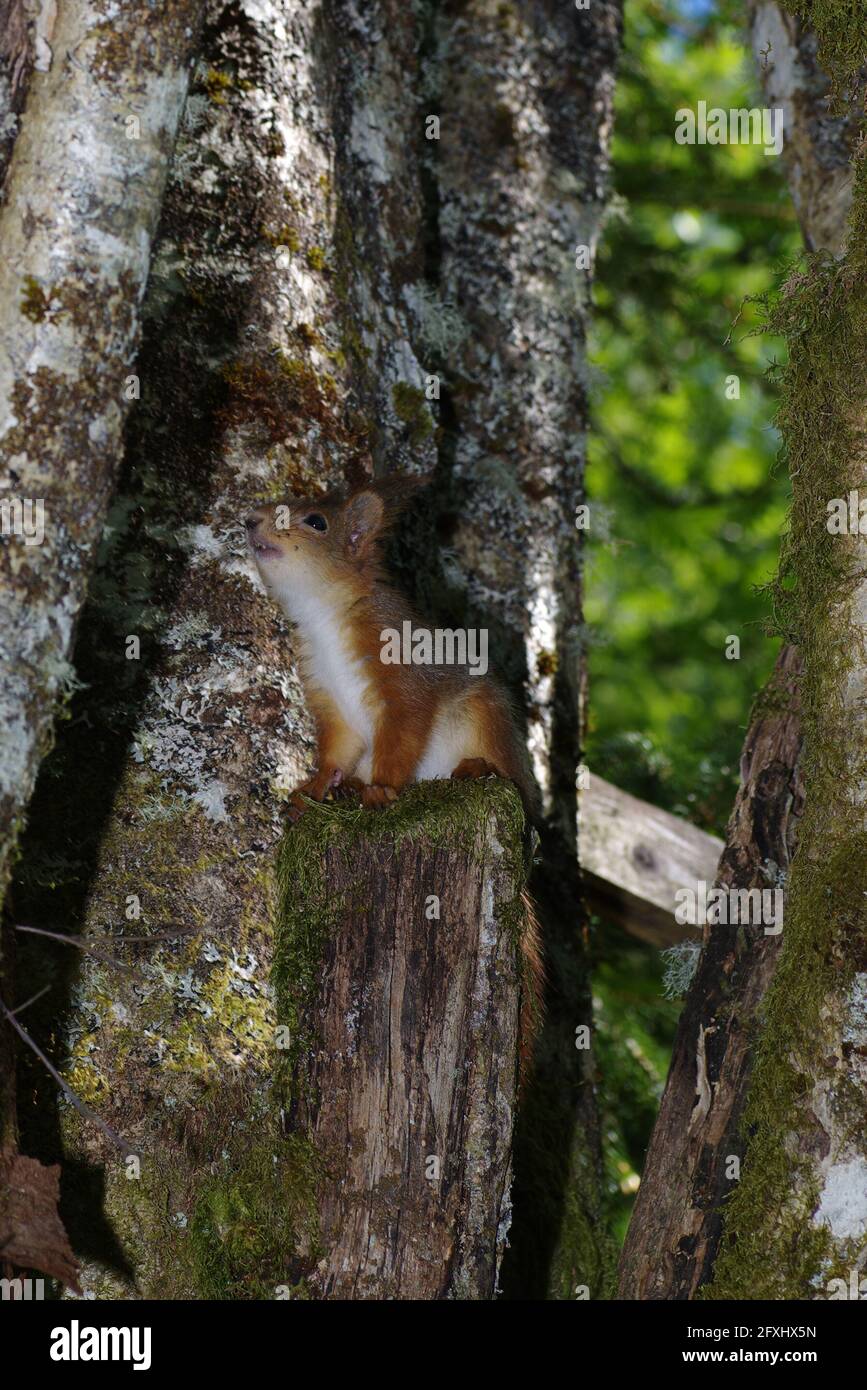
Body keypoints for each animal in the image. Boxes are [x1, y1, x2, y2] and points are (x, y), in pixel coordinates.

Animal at [246, 475, 543, 1063]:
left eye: (317, 521)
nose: (249, 521)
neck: (323, 613)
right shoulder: (329, 700)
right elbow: (336, 751)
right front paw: (315, 789)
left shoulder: (405, 678)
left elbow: (401, 736)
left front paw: (381, 790)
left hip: (488, 718)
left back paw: (473, 767)